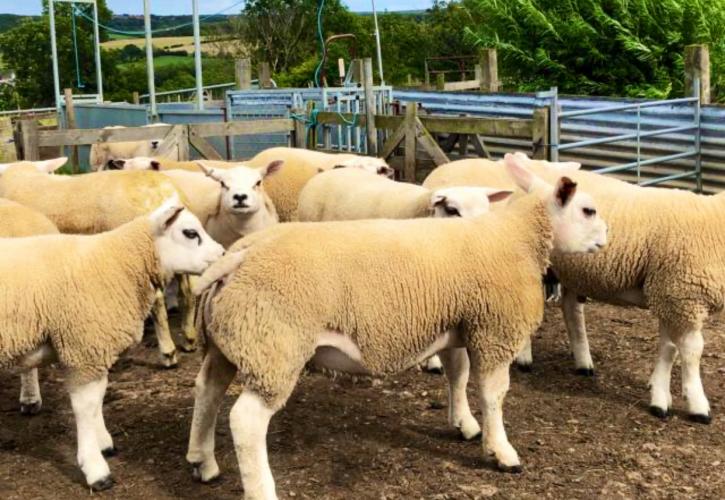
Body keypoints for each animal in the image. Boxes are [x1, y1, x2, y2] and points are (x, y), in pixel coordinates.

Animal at [185, 154, 607, 498]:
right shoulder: (494, 329)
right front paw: (501, 451)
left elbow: (457, 374)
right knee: (246, 421)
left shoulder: (457, 322)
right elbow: (493, 394)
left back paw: (202, 461)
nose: (606, 239)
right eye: (588, 210)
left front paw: (464, 423)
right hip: (275, 347)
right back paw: (260, 489)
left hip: (236, 340)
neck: (514, 238)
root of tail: (241, 254)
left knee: (207, 390)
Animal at [424, 152, 724, 424]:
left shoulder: (669, 292)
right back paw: (523, 357)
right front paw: (697, 405)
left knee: (571, 309)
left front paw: (660, 395)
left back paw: (582, 361)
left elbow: (668, 348)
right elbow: (691, 350)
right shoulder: (683, 294)